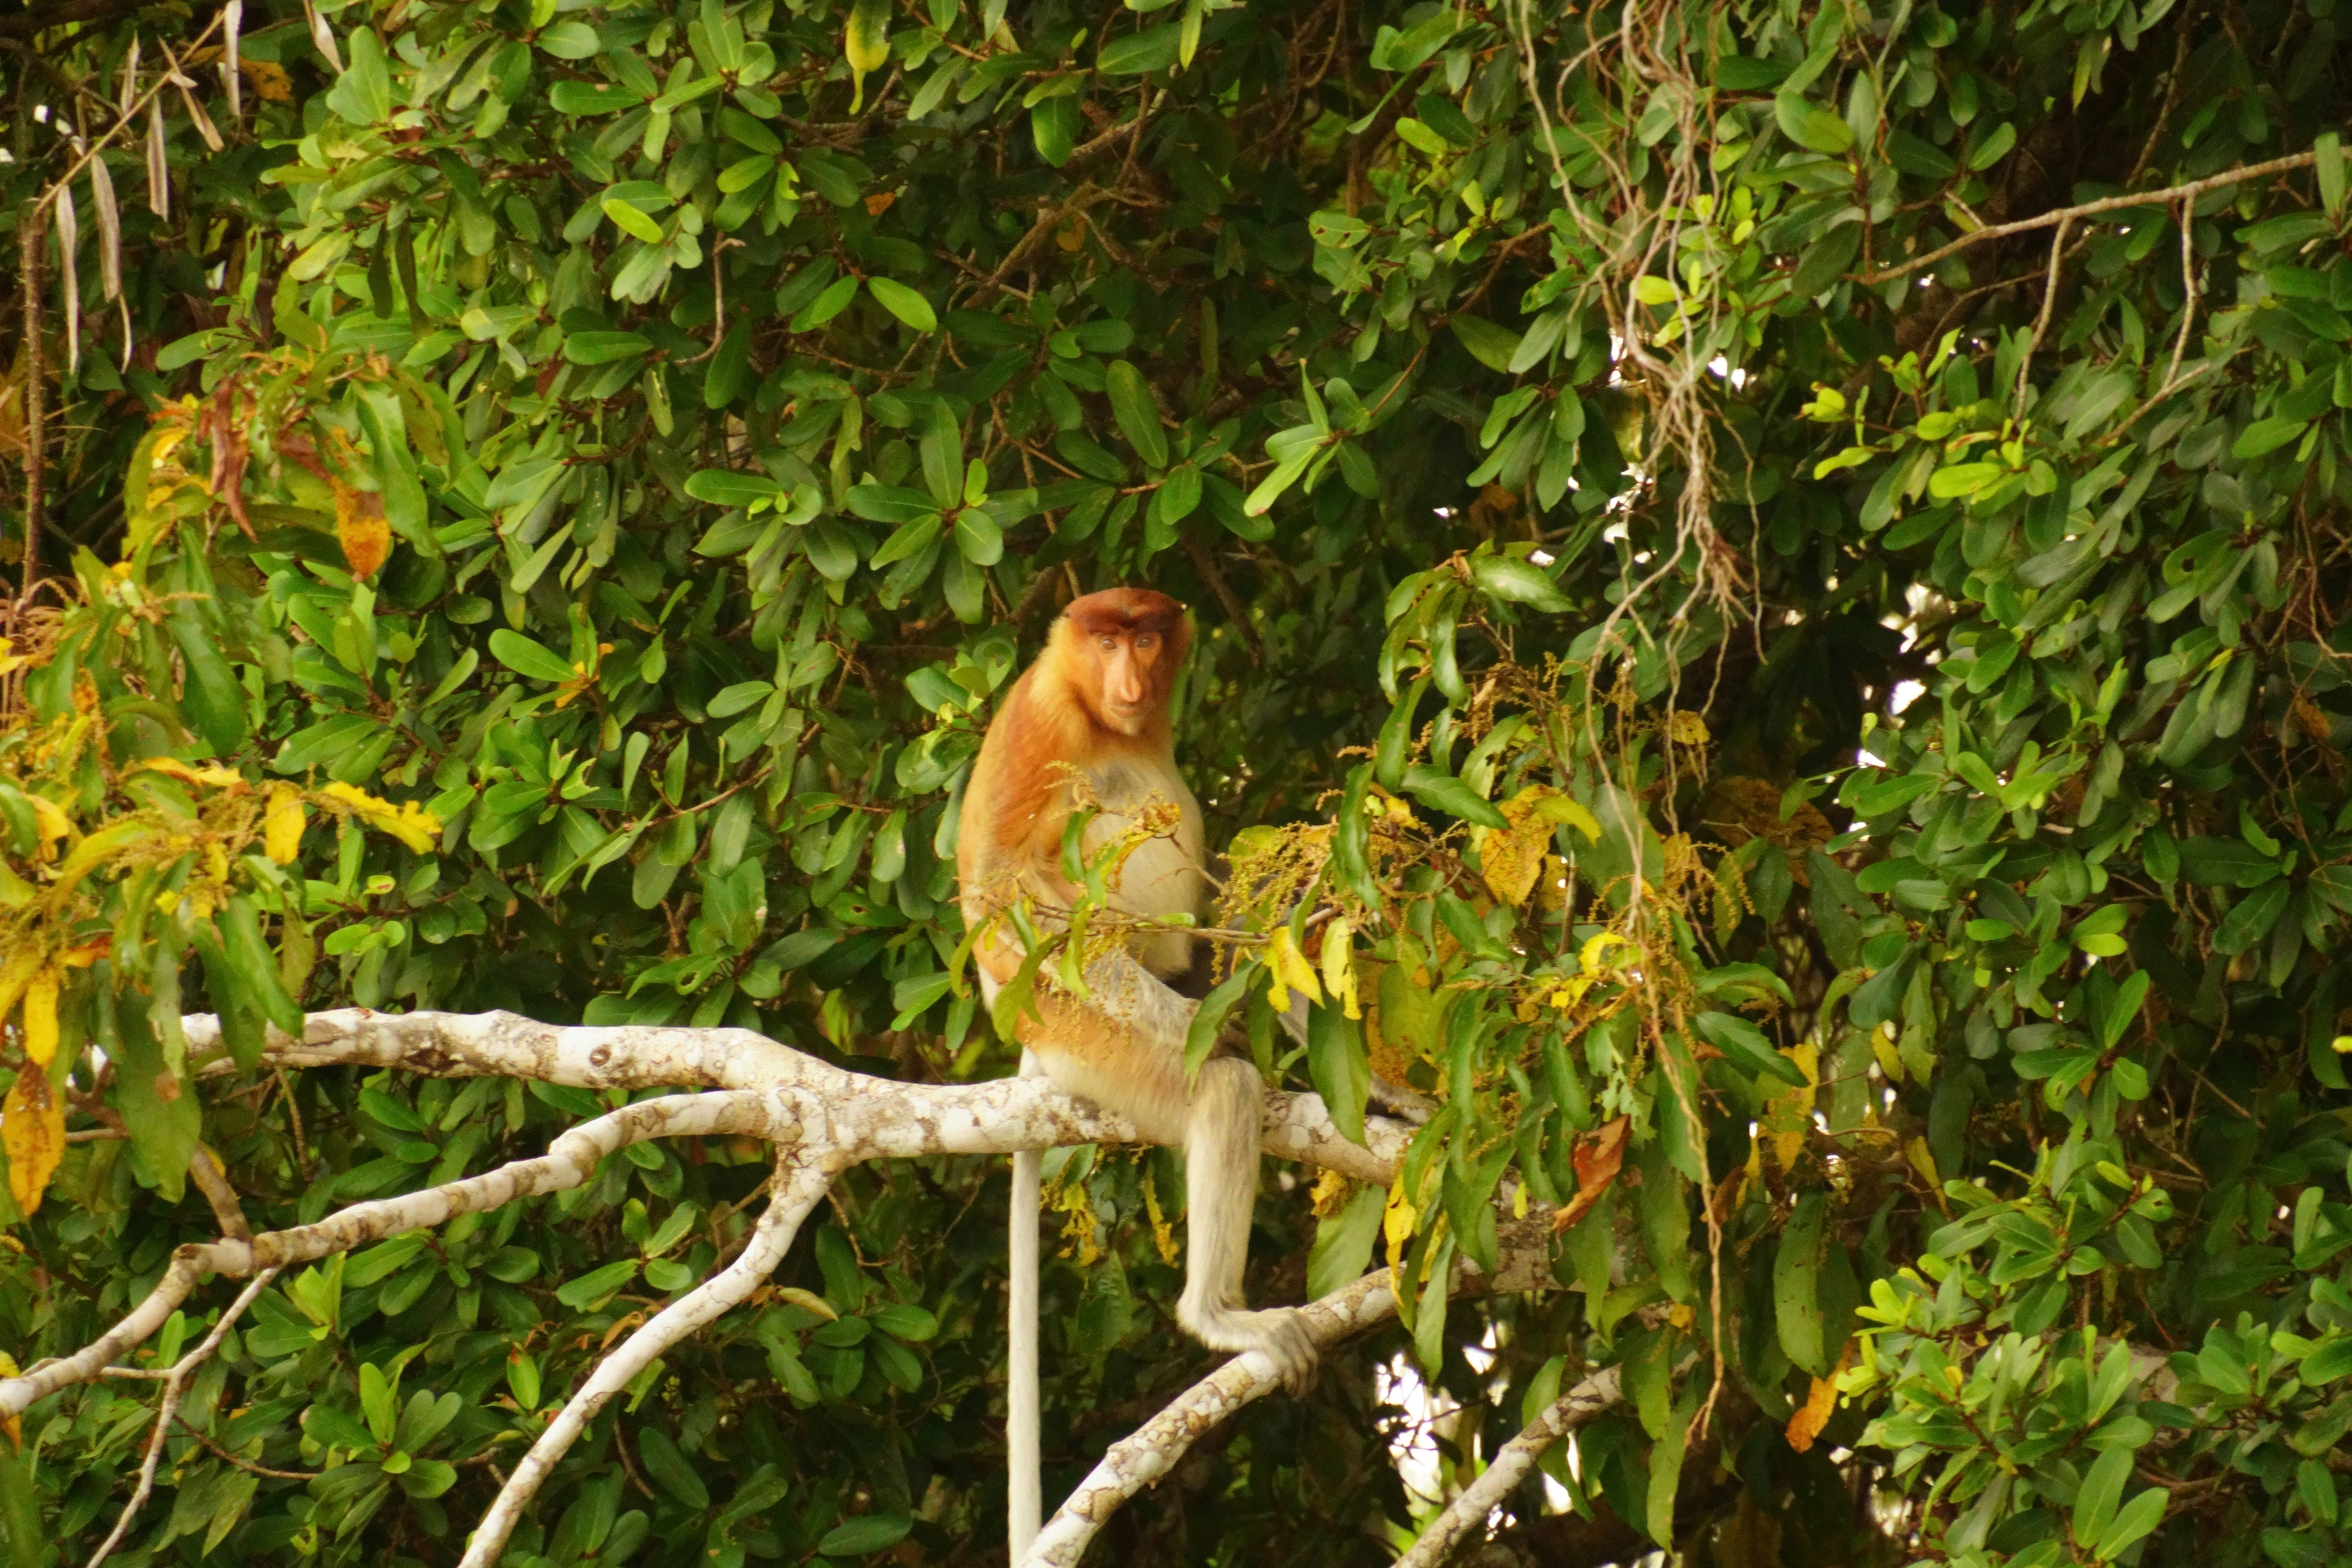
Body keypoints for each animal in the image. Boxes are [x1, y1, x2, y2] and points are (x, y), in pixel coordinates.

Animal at [956, 587, 1317, 1555]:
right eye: (1108, 642)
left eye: (1149, 638)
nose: (1130, 679)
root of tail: (1034, 1044)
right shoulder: (1044, 715)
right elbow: (1002, 879)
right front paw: (1206, 1029)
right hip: (1092, 1038)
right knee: (1218, 1089)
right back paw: (1218, 1312)